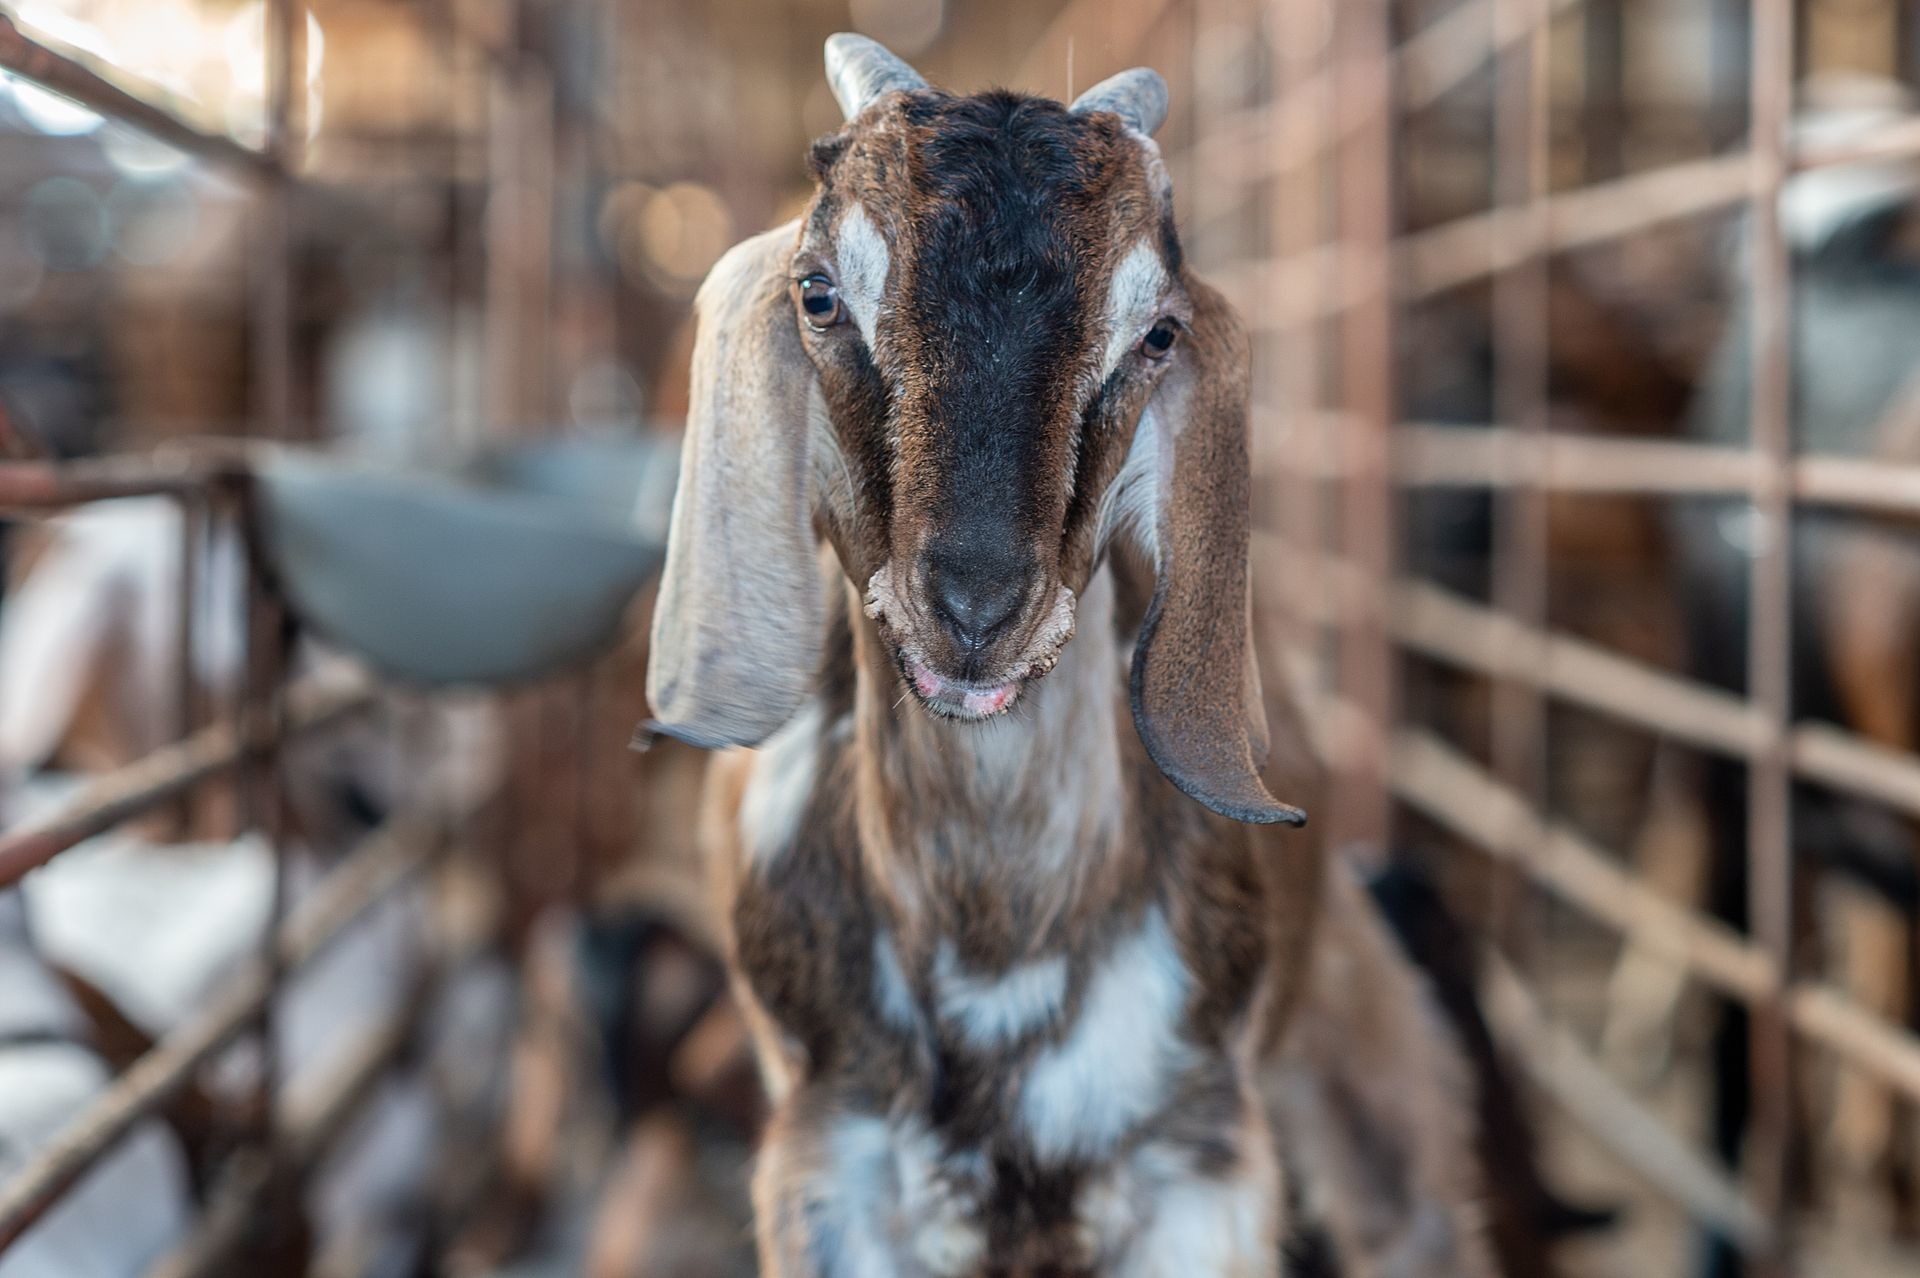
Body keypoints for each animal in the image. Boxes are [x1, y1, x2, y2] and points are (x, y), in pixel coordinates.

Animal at [642, 36, 1495, 1278]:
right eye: (818, 292)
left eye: (1157, 333)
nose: (974, 606)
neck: (1003, 936)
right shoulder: (830, 1162)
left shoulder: (1200, 1162)